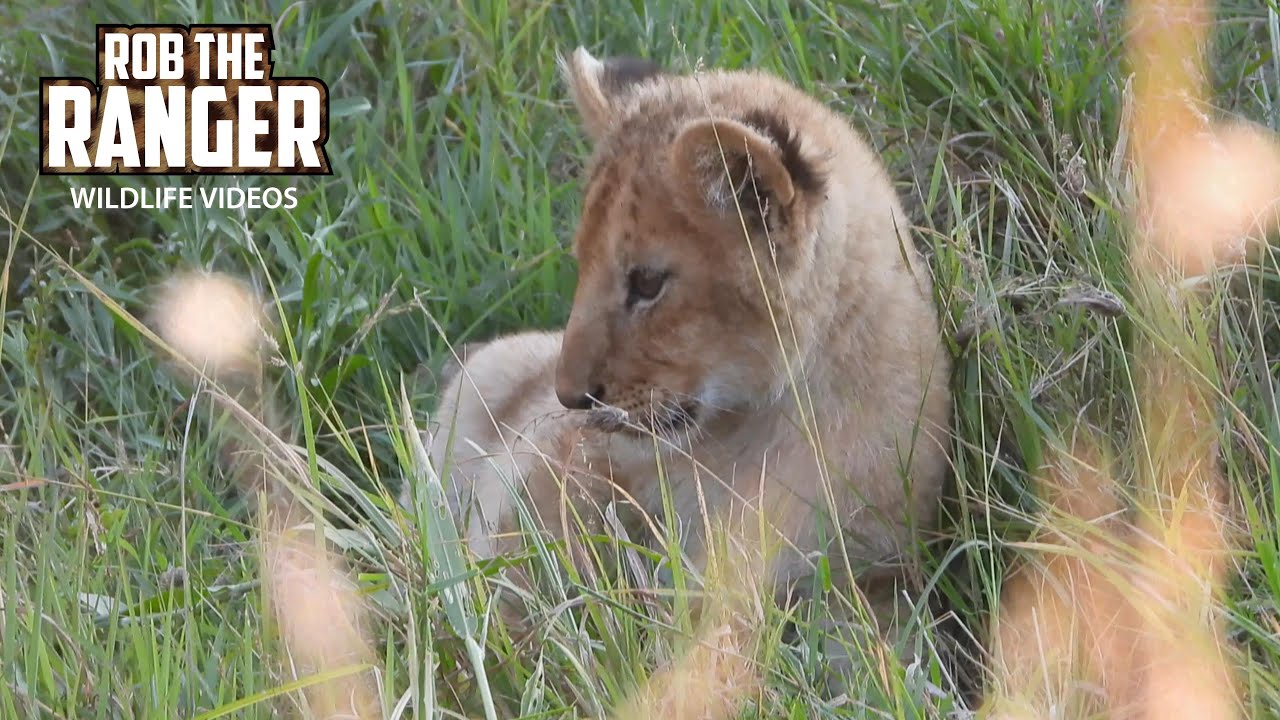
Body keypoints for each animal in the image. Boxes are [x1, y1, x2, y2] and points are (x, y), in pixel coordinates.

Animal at [402, 48, 952, 642]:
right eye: (583, 264)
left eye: (647, 282)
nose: (571, 397)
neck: (774, 429)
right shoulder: (547, 474)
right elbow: (531, 570)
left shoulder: (876, 577)